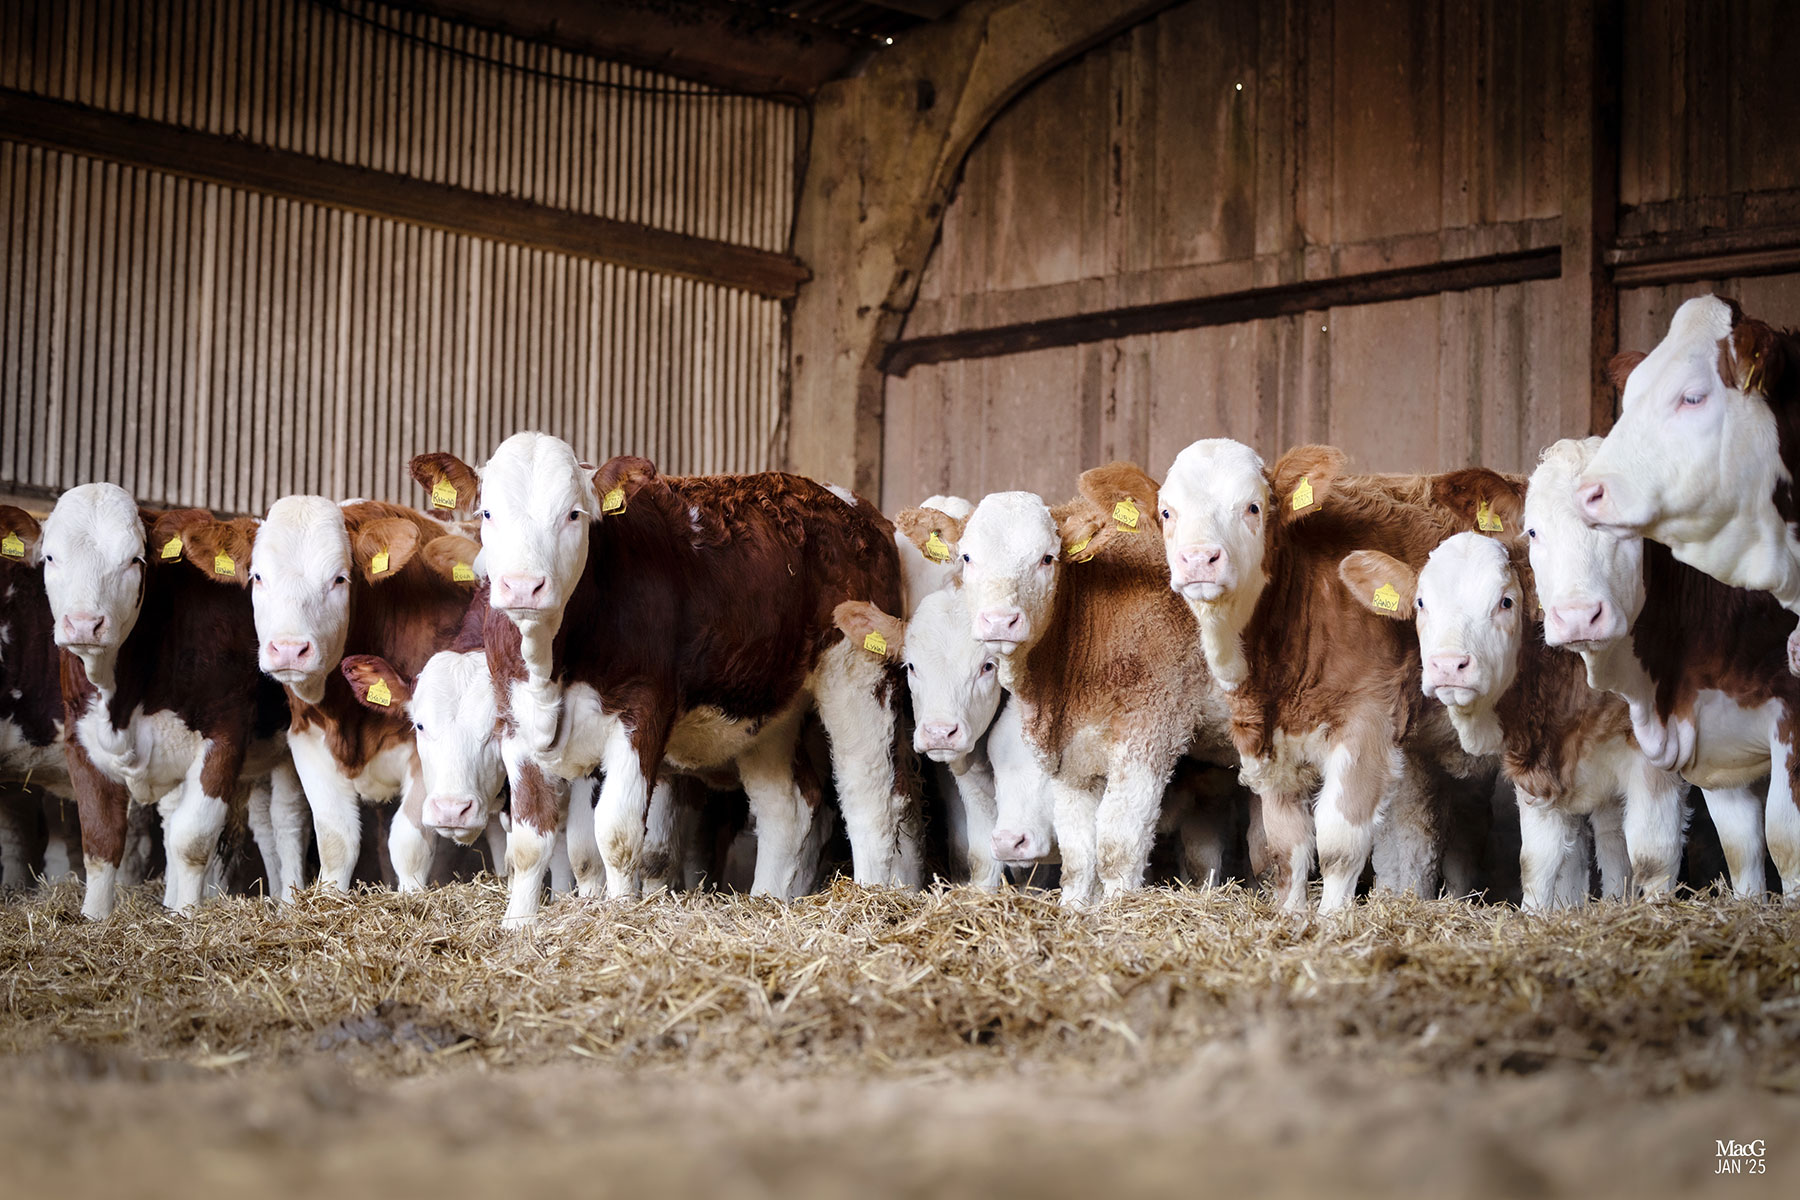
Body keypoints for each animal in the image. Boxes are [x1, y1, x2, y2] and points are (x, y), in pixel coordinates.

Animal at [28, 484, 297, 917]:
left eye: (134, 560)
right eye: (50, 557)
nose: (84, 624)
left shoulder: (225, 732)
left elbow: (192, 840)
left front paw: (186, 916)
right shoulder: (79, 736)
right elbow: (101, 840)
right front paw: (94, 919)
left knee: (287, 822)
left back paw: (290, 899)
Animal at [410, 432, 918, 926]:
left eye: (573, 514)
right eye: (488, 512)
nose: (522, 585)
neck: (549, 662)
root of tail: (851, 506)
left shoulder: (642, 712)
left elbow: (616, 834)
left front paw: (618, 917)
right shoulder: (516, 722)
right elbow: (531, 840)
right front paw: (518, 925)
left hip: (858, 674)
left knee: (870, 797)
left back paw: (870, 899)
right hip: (766, 709)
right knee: (787, 810)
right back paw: (766, 900)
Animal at [926, 469, 1237, 907]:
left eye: (1047, 558)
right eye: (967, 557)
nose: (1000, 621)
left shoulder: (1150, 732)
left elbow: (1118, 846)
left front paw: (1118, 909)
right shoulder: (1070, 757)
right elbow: (1078, 853)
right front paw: (1073, 908)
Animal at [1150, 442, 1511, 912]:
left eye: (1253, 507)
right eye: (1166, 512)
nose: (1198, 559)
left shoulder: (1367, 720)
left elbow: (1339, 841)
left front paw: (1333, 917)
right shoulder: (1266, 743)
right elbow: (1285, 845)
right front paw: (1291, 913)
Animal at [1339, 531, 1688, 908]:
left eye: (1506, 602)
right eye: (1420, 602)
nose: (1447, 665)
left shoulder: (1654, 763)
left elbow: (1654, 855)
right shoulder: (1536, 764)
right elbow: (1538, 861)